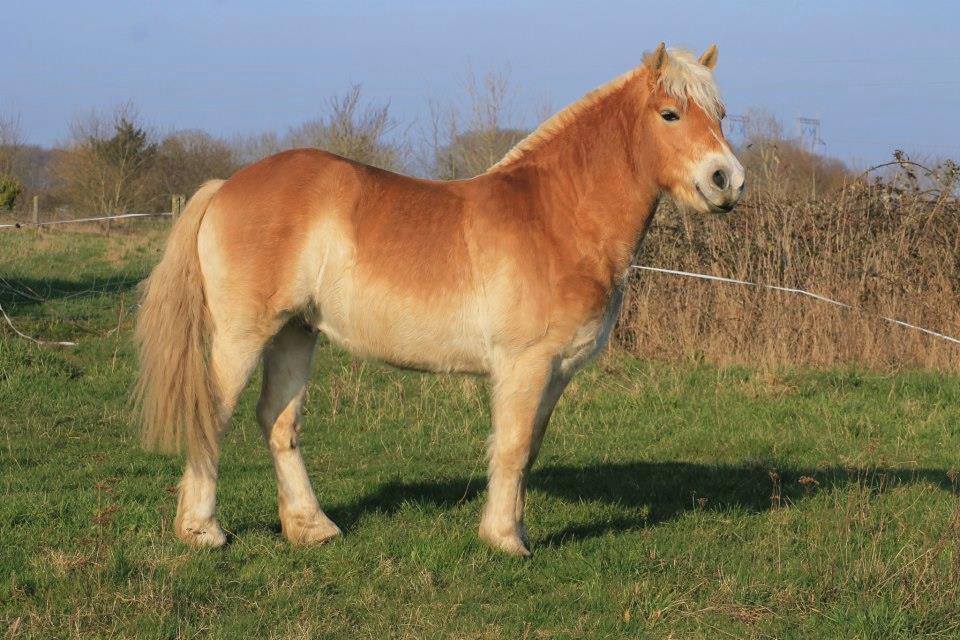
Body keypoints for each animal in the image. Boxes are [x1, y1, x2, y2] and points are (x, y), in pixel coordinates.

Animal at [135, 43, 744, 556]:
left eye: (721, 114)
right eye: (670, 114)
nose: (727, 181)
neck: (556, 217)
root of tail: (226, 187)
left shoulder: (557, 370)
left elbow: (530, 449)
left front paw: (517, 530)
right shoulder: (524, 365)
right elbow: (511, 447)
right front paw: (504, 540)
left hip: (294, 333)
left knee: (278, 422)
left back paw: (311, 528)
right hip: (244, 335)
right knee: (213, 413)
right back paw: (203, 531)